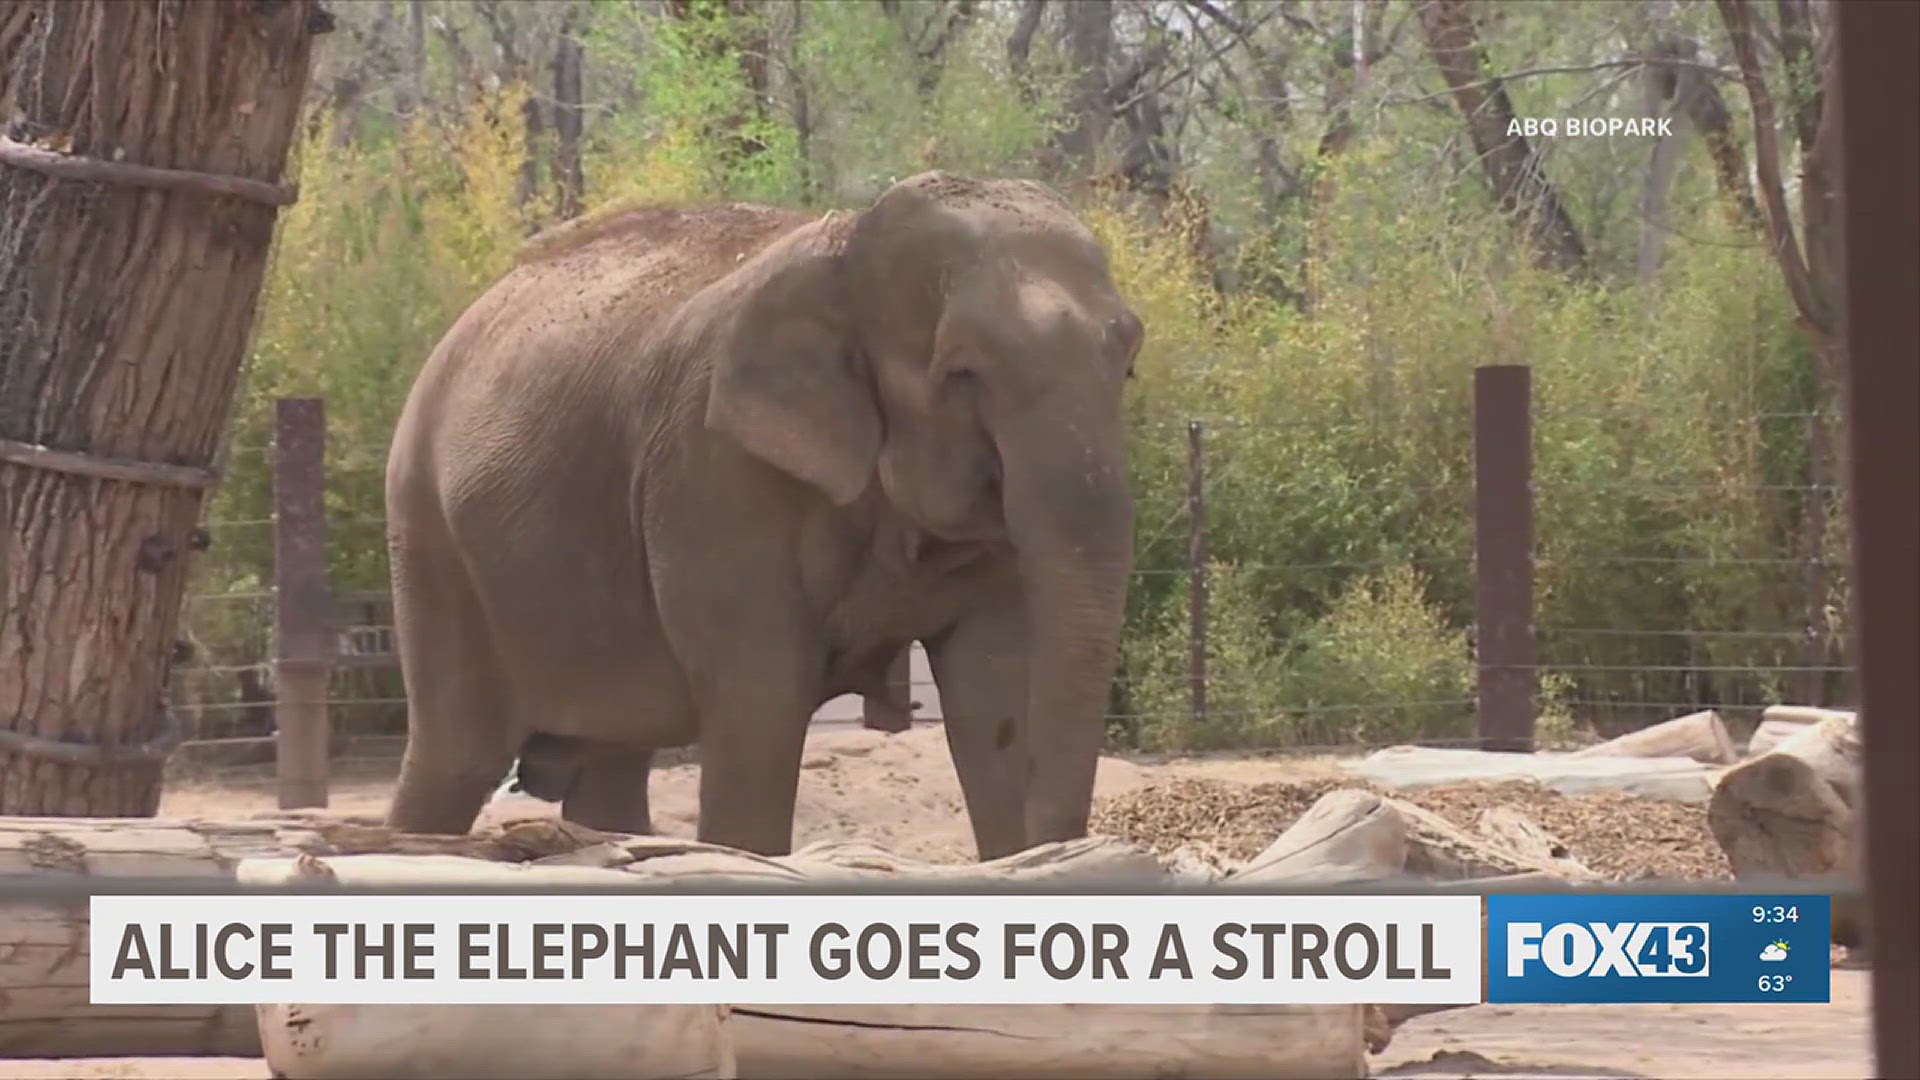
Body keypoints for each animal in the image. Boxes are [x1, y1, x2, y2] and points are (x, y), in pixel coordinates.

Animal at [381, 172, 1142, 861]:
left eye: (1129, 361)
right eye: (961, 373)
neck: (846, 250)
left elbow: (995, 690)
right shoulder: (712, 468)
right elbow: (761, 697)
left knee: (612, 757)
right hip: (429, 534)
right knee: (456, 755)